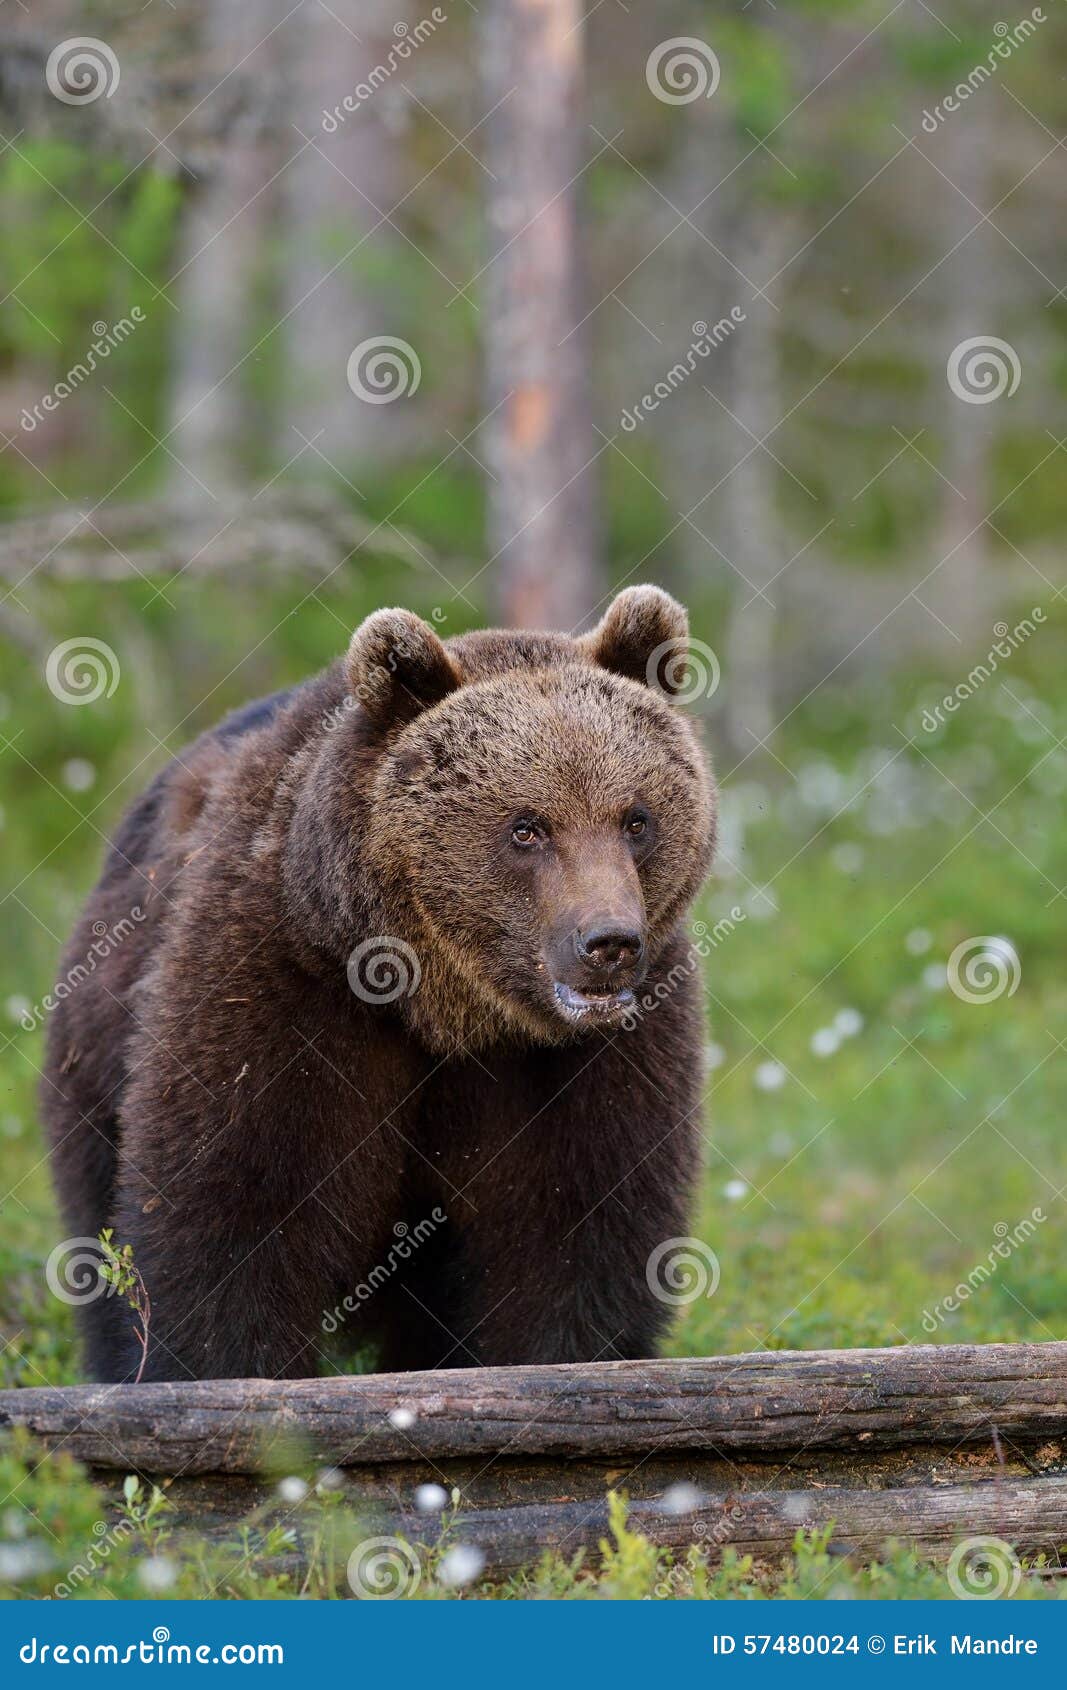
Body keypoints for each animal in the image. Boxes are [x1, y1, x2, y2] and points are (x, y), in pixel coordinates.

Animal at [42, 585, 717, 1383]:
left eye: (636, 818)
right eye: (527, 827)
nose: (608, 944)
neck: (447, 1010)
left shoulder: (591, 1058)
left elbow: (579, 1228)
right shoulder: (287, 986)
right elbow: (232, 1207)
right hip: (96, 1051)